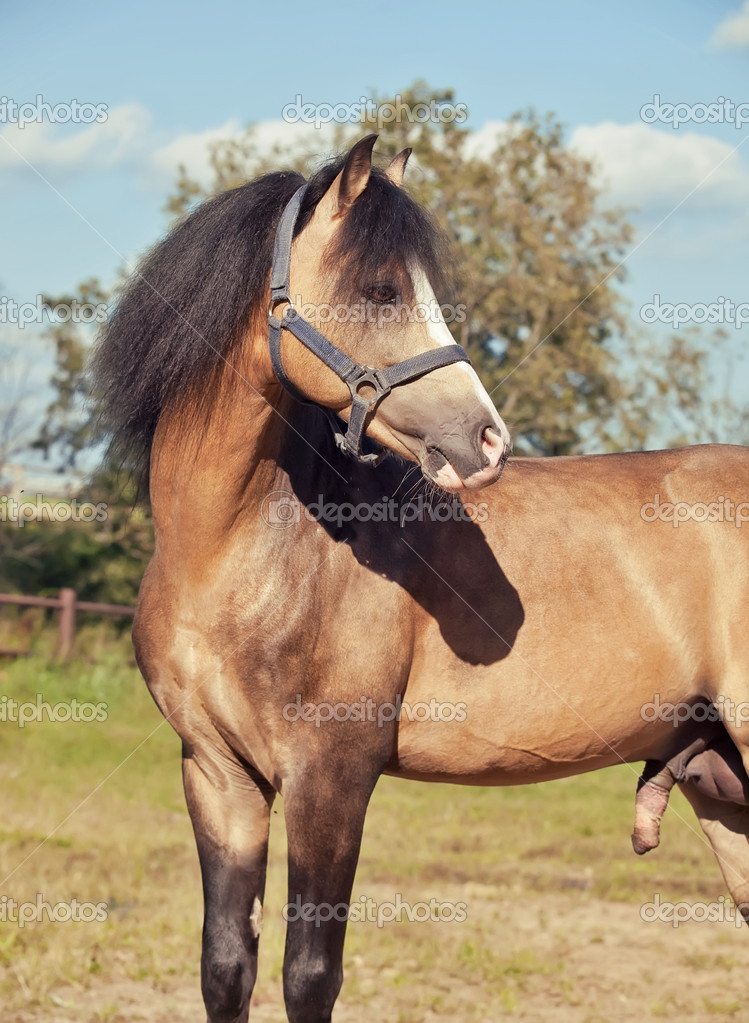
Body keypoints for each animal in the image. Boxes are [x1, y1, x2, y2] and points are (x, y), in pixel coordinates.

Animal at [92, 134, 749, 1022]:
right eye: (380, 288)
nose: (485, 439)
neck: (245, 554)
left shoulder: (330, 779)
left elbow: (309, 973)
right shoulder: (218, 775)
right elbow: (227, 965)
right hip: (721, 786)